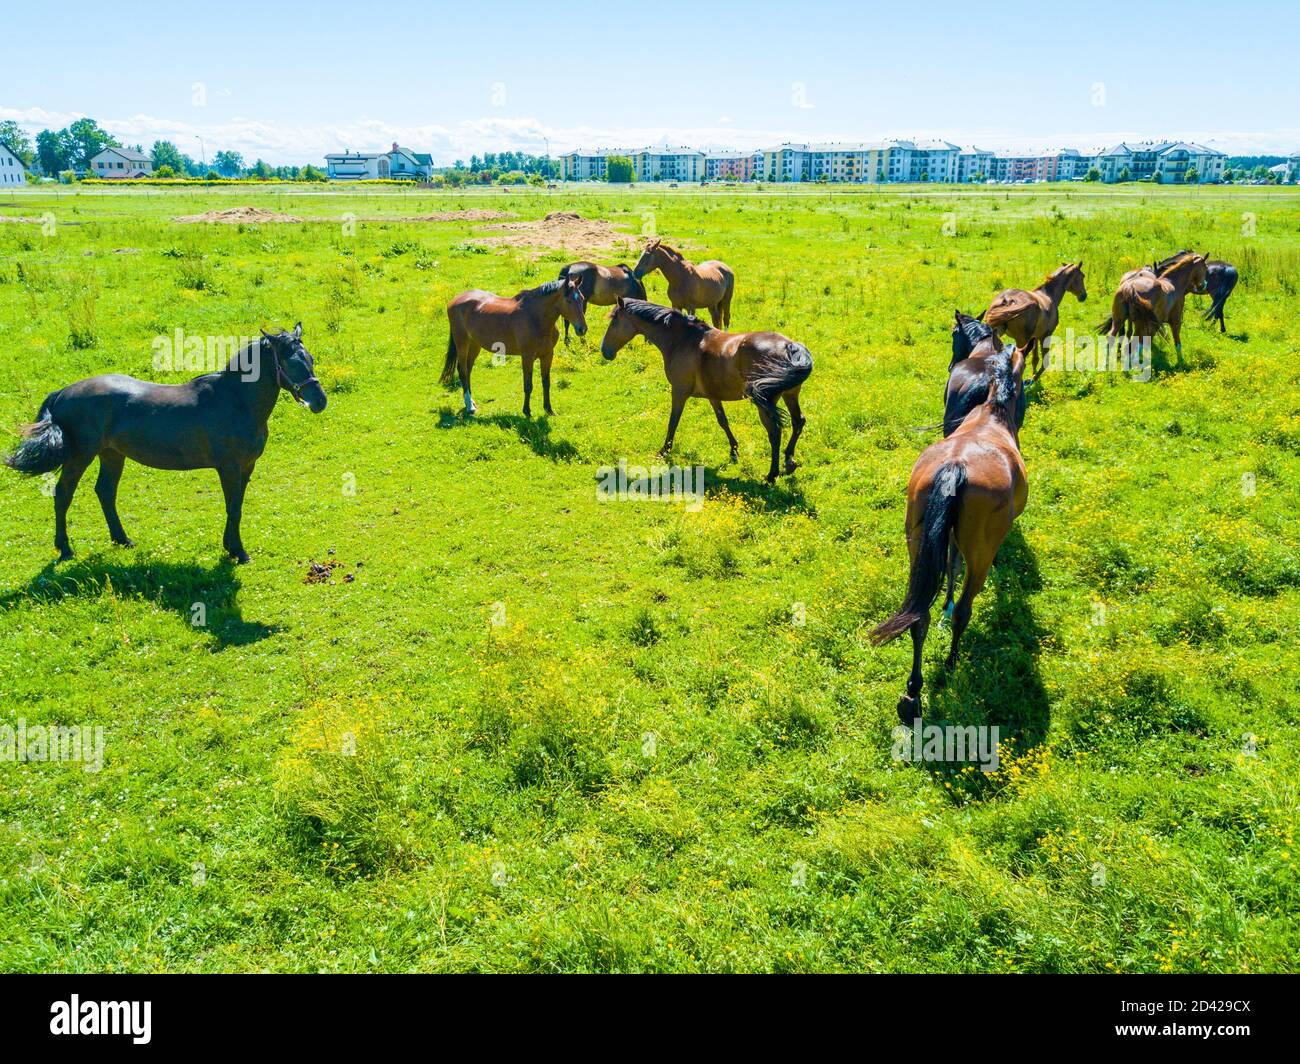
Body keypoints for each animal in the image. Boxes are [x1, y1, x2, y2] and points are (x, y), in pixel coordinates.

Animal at [4, 324, 326, 563]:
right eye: (290, 362)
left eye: (309, 359)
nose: (319, 401)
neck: (235, 401)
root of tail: (62, 392)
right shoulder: (229, 467)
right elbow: (233, 506)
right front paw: (238, 551)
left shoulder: (246, 466)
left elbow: (237, 505)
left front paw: (230, 546)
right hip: (81, 455)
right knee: (63, 494)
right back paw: (65, 548)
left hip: (111, 454)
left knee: (105, 492)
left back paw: (122, 539)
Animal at [441, 276, 587, 418]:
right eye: (568, 300)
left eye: (582, 298)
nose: (582, 329)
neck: (536, 318)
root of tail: (454, 301)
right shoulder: (527, 356)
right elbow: (528, 385)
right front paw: (527, 411)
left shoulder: (548, 355)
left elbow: (546, 382)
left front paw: (549, 409)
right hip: (462, 343)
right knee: (462, 371)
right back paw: (469, 406)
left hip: (474, 345)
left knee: (468, 370)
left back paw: (470, 402)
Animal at [599, 299, 811, 484]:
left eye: (614, 321)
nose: (605, 351)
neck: (683, 339)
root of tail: (789, 346)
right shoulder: (713, 395)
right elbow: (723, 421)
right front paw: (734, 451)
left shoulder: (679, 392)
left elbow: (673, 422)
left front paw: (664, 451)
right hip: (790, 395)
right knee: (798, 421)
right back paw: (789, 462)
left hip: (766, 404)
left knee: (775, 432)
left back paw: (771, 475)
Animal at [871, 346, 1028, 723]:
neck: (991, 414)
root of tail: (956, 466)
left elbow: (951, 566)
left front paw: (945, 598)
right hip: (980, 555)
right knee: (964, 612)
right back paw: (952, 662)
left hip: (917, 545)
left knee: (920, 614)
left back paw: (913, 692)